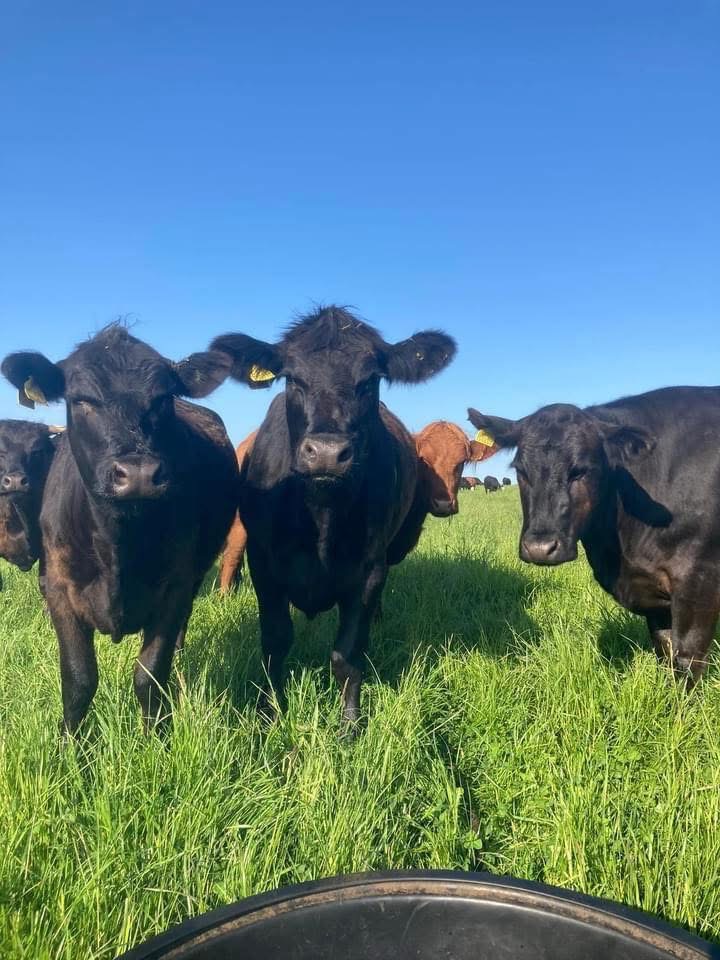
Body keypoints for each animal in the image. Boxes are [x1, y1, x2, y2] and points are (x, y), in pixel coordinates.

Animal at [211, 305, 456, 732]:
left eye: (370, 380)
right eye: (292, 378)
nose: (326, 453)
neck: (321, 519)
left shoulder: (369, 571)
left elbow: (347, 655)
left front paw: (349, 727)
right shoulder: (264, 565)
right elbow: (275, 642)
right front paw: (270, 714)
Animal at [468, 387, 720, 682]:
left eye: (581, 470)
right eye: (521, 470)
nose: (540, 548)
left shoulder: (699, 581)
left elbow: (686, 661)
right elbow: (665, 651)